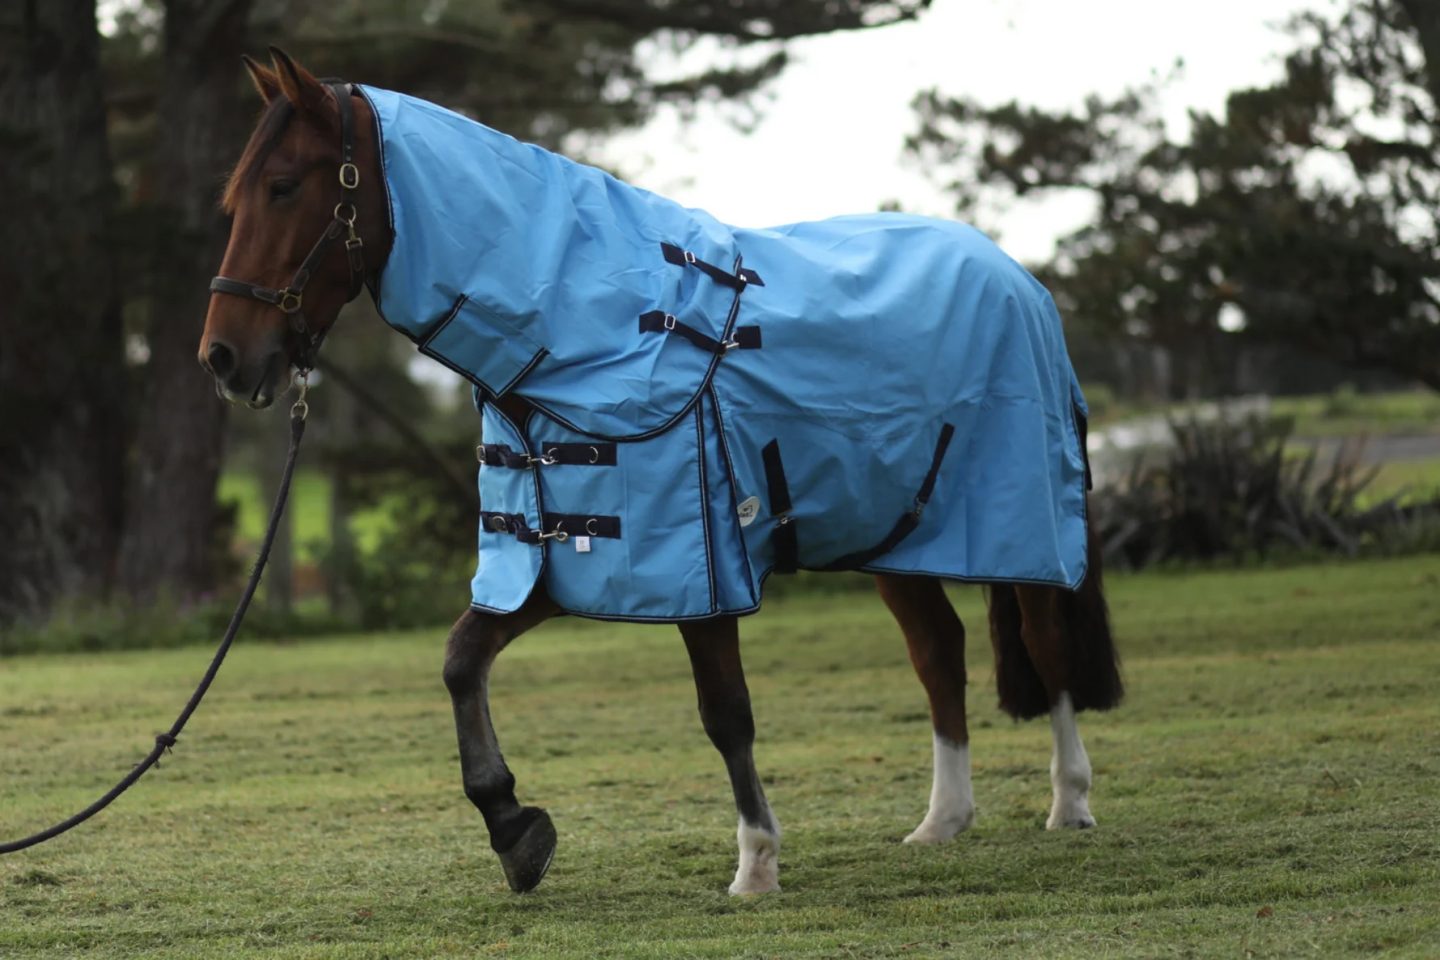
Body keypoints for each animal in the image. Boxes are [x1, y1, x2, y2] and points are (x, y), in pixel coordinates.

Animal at [198, 48, 1123, 896]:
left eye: (284, 185)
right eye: (235, 199)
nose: (224, 359)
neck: (586, 325)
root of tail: (1020, 279)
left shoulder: (695, 563)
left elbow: (726, 714)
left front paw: (756, 864)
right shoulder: (563, 557)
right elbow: (462, 661)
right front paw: (515, 829)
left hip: (1021, 522)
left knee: (1045, 644)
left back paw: (1070, 802)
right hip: (893, 533)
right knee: (938, 651)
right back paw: (943, 820)